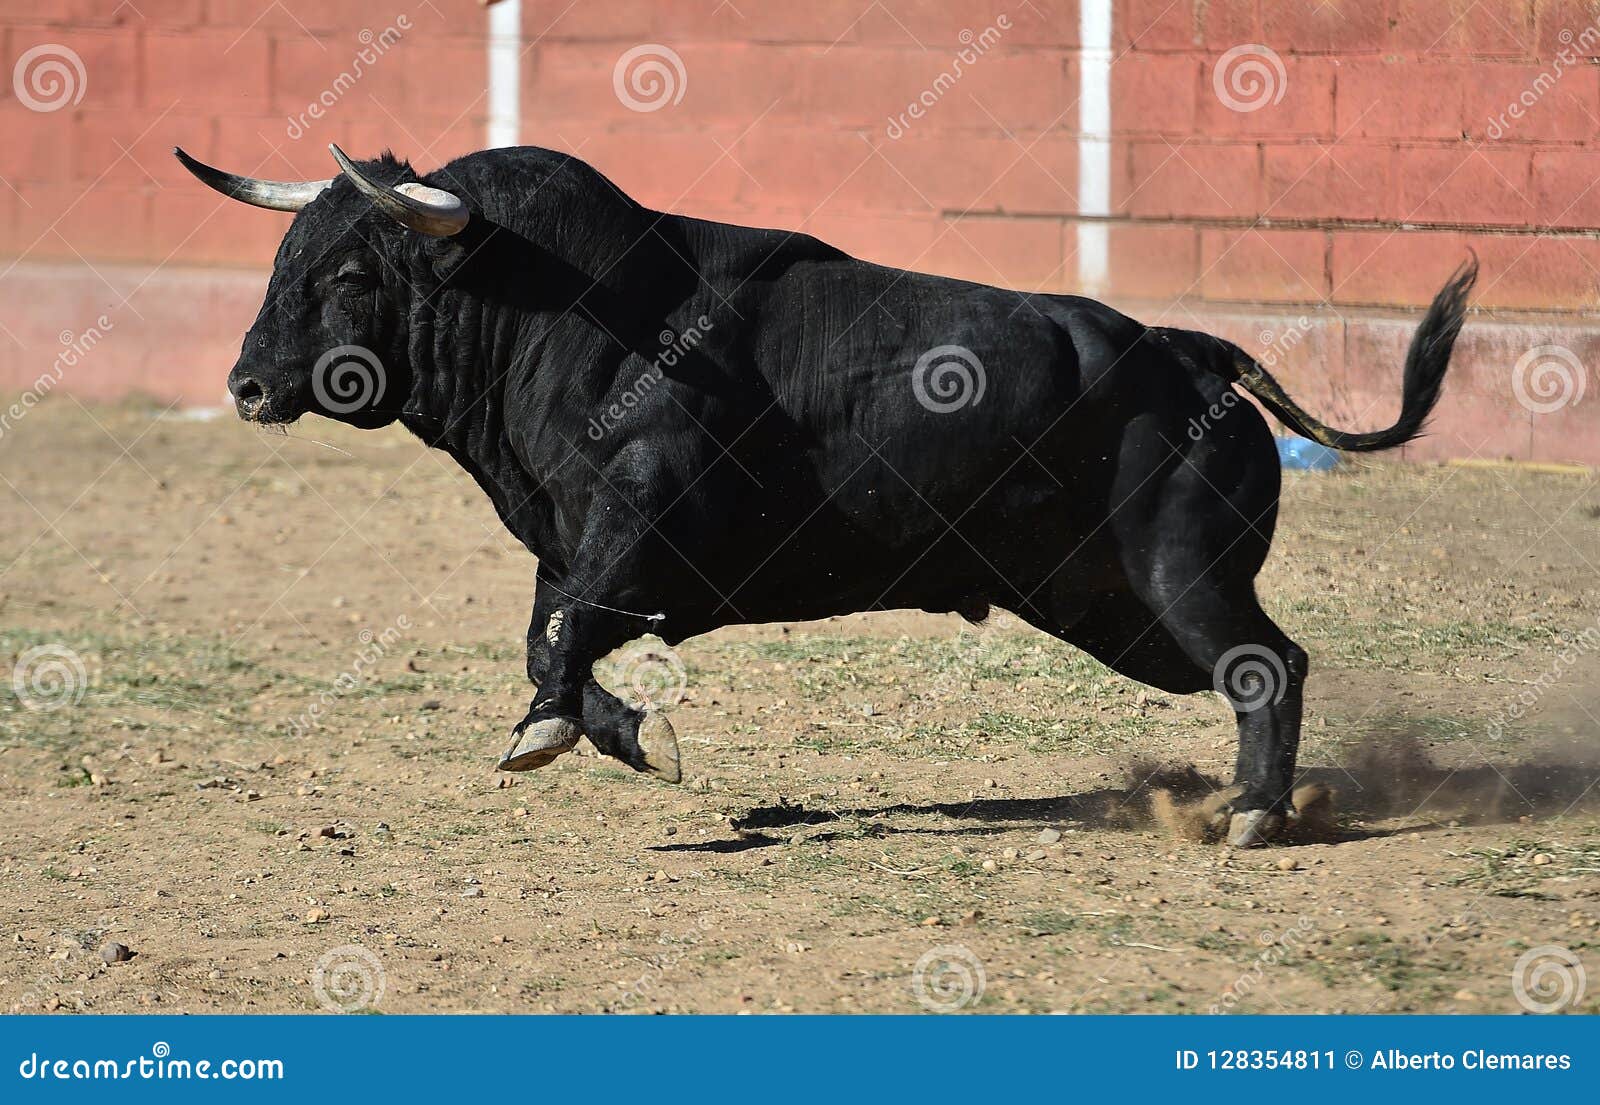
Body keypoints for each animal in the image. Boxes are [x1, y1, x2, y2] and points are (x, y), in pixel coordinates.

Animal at [174, 142, 1476, 846]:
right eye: (287, 260)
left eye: (351, 273)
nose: (246, 384)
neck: (564, 313)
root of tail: (1187, 350)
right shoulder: (578, 545)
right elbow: (552, 637)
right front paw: (633, 740)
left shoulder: (642, 531)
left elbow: (561, 635)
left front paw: (563, 738)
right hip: (1115, 610)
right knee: (1256, 664)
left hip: (1178, 579)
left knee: (1269, 663)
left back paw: (1254, 814)